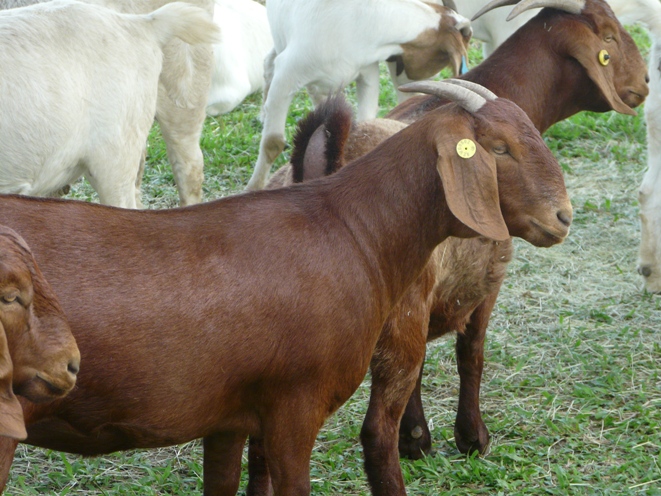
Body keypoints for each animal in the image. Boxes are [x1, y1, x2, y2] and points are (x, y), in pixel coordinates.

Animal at [246, 0, 472, 190]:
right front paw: (253, 188)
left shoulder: (368, 74)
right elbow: (272, 143)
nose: (410, 96)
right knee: (270, 64)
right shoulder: (287, 77)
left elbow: (367, 121)